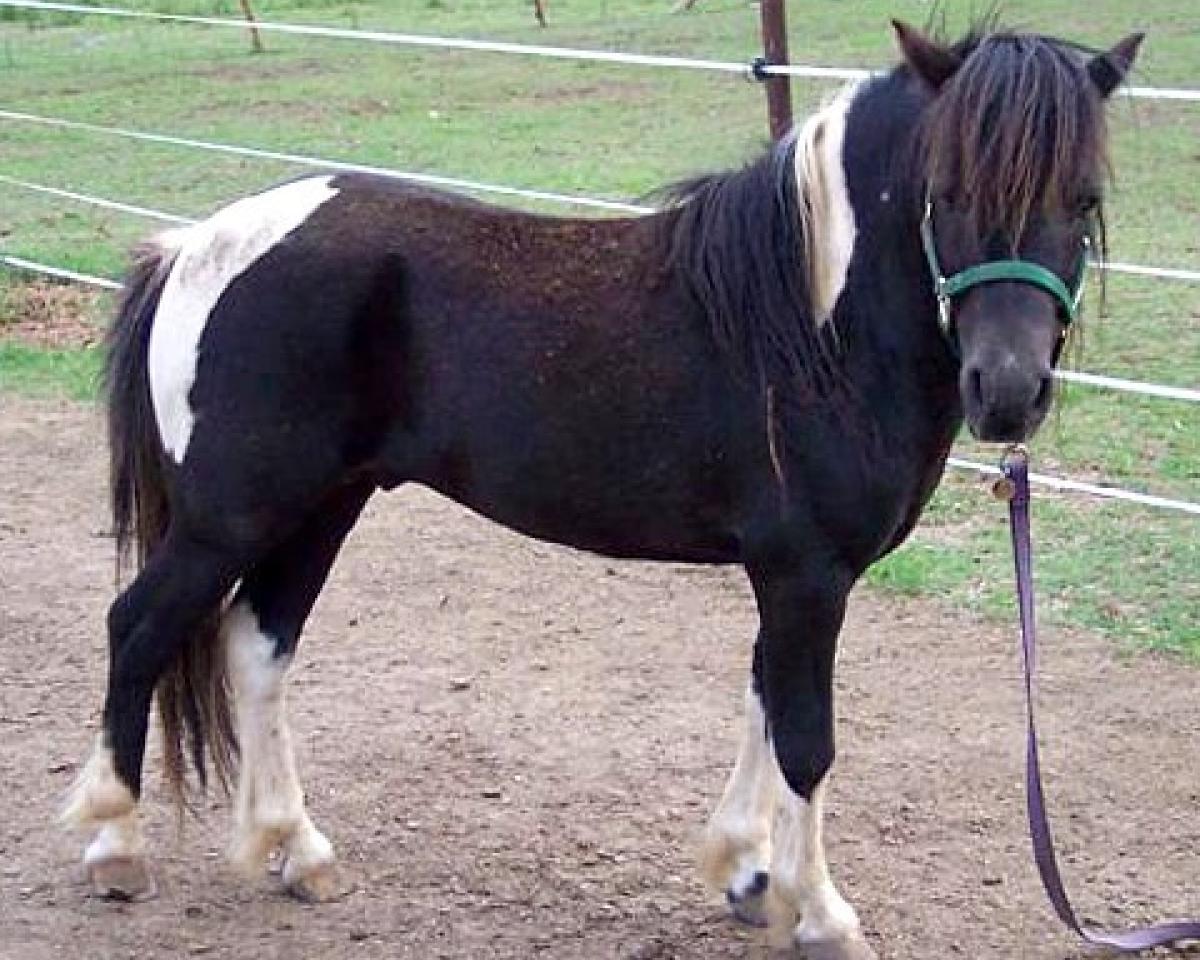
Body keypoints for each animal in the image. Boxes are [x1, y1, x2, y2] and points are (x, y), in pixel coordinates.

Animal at [63, 22, 1140, 958]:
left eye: (1083, 197)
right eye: (946, 189)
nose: (1007, 390)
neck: (809, 330)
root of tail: (195, 245)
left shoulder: (785, 578)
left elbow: (761, 703)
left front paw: (747, 875)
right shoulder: (806, 575)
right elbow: (805, 738)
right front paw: (821, 915)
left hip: (323, 506)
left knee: (258, 648)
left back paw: (298, 853)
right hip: (230, 518)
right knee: (140, 628)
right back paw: (116, 846)